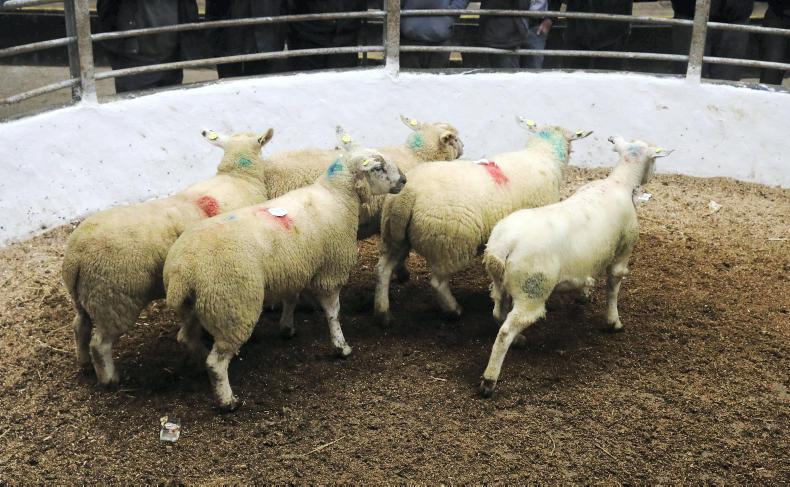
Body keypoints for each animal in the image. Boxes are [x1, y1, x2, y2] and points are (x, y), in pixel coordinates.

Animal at [62, 128, 274, 387]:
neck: (238, 176)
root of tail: (75, 256)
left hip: (84, 297)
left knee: (79, 327)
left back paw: (84, 364)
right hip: (112, 299)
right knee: (100, 344)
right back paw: (110, 379)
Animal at [162, 128, 407, 412]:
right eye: (379, 167)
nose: (404, 179)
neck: (337, 196)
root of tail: (183, 269)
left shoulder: (295, 267)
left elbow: (291, 298)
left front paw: (287, 328)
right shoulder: (330, 270)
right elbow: (333, 312)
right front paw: (341, 346)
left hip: (192, 307)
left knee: (186, 339)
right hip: (232, 305)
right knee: (217, 362)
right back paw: (227, 400)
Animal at [374, 118, 592, 324]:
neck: (543, 156)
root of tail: (408, 194)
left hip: (395, 234)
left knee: (384, 269)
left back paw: (383, 313)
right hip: (449, 242)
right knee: (438, 283)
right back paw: (454, 310)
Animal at [478, 136, 673, 398]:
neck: (618, 183)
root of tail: (506, 244)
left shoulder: (592, 258)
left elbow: (589, 276)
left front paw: (584, 293)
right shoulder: (623, 250)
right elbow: (613, 287)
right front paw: (613, 321)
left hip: (500, 282)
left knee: (499, 313)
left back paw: (519, 340)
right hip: (533, 289)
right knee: (506, 331)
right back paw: (490, 379)